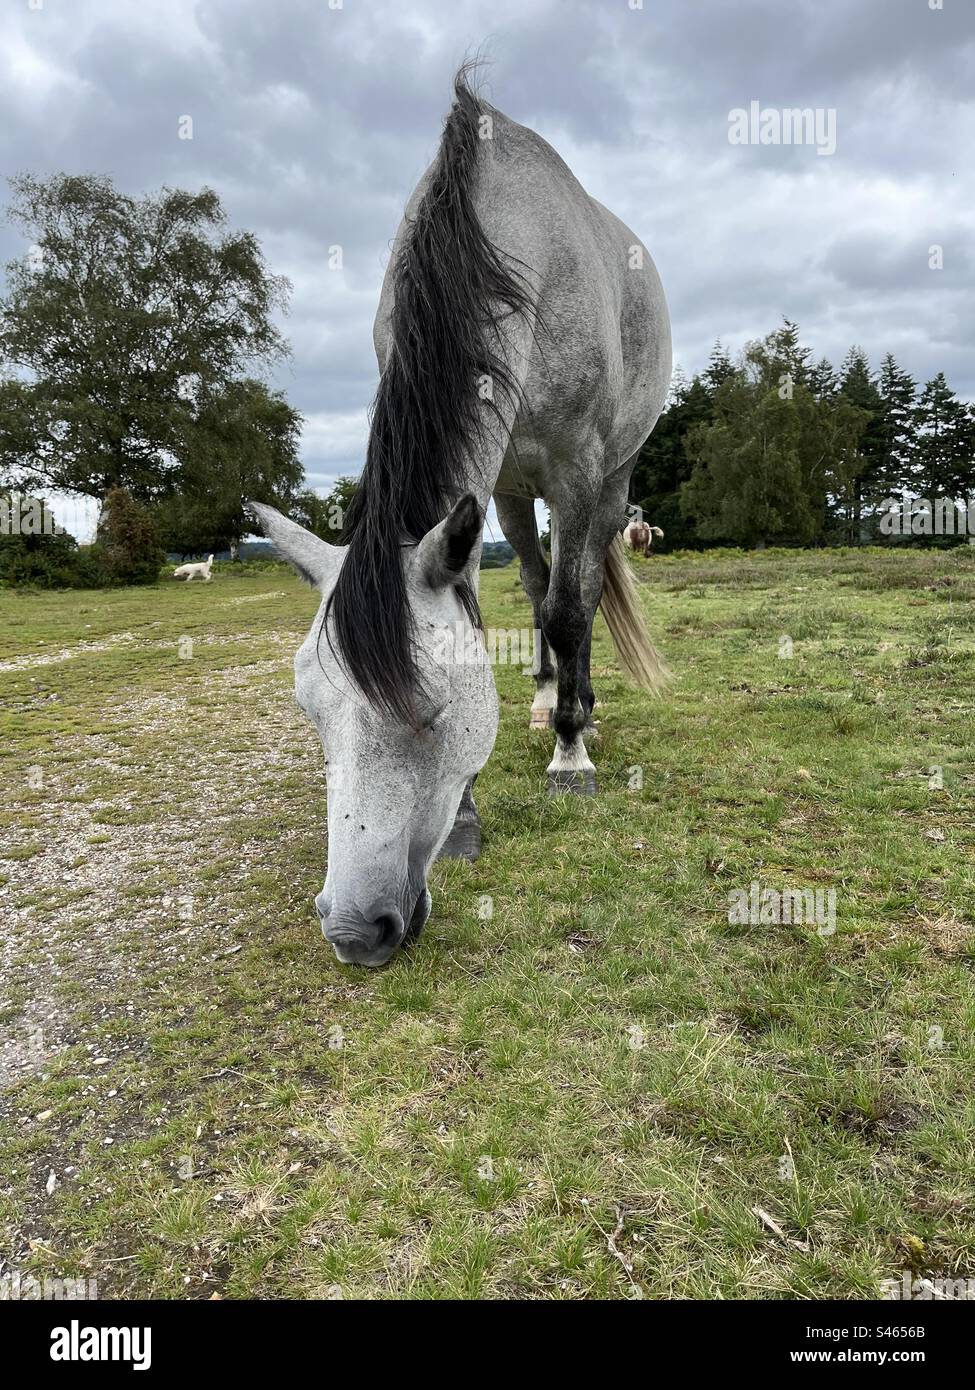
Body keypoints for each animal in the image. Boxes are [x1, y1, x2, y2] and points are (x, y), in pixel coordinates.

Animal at [251, 68, 671, 967]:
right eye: (310, 713)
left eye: (433, 710)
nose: (354, 931)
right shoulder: (481, 492)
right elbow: (509, 604)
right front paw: (471, 812)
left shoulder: (579, 468)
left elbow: (571, 609)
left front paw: (571, 757)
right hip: (511, 489)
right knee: (539, 579)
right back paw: (547, 698)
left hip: (608, 479)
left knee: (574, 593)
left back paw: (574, 717)